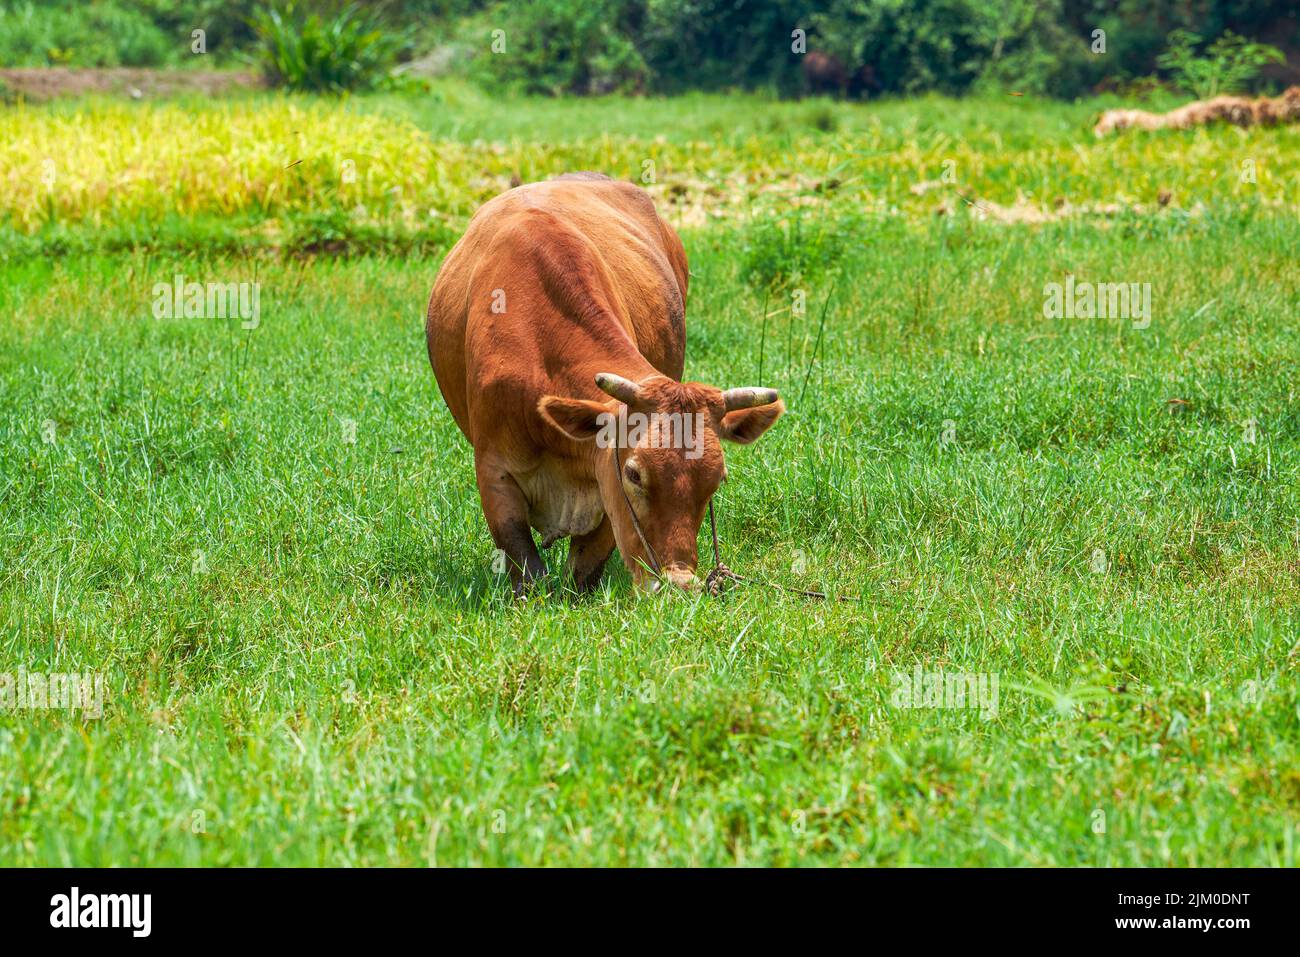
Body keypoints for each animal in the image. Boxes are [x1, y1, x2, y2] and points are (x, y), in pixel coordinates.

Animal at [425, 173, 785, 596]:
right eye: (634, 474)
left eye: (717, 481)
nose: (680, 583)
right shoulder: (494, 473)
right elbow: (524, 565)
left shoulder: (603, 488)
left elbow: (585, 565)